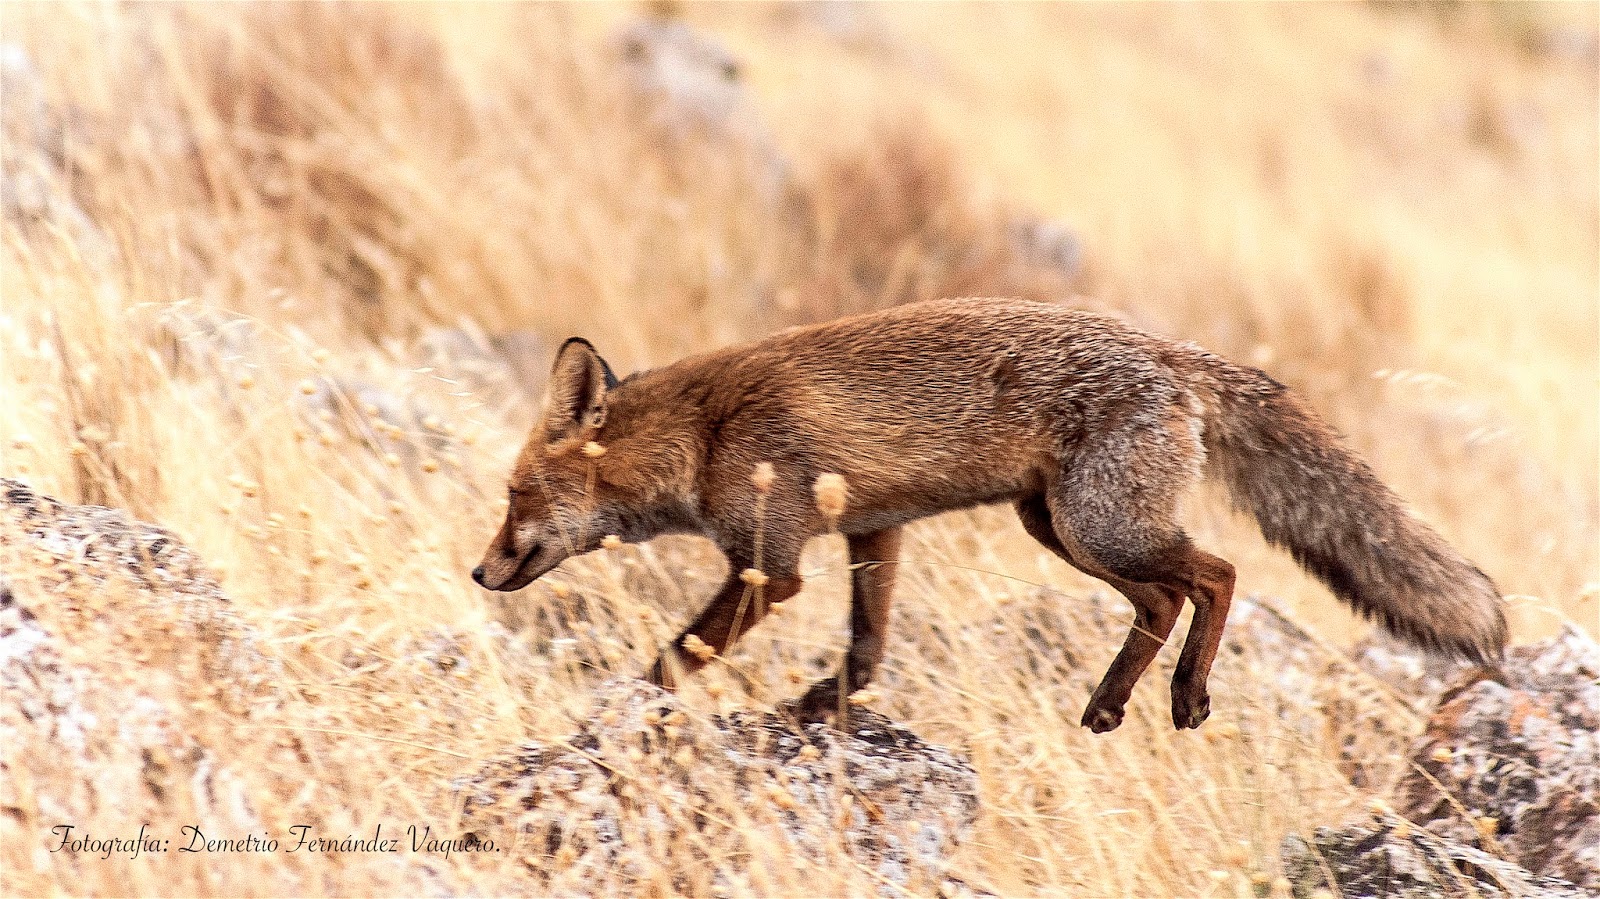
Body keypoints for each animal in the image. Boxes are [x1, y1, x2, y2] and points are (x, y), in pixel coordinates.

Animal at [473, 297, 1506, 731]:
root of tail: (1174, 351)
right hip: (1059, 528)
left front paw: (619, 708)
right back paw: (1110, 703)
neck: (706, 430)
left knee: (1216, 575)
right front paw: (827, 706)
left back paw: (1184, 695)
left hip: (1099, 526)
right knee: (1163, 601)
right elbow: (868, 648)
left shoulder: (772, 562)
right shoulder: (873, 529)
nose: (480, 571)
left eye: (514, 497)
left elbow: (676, 654)